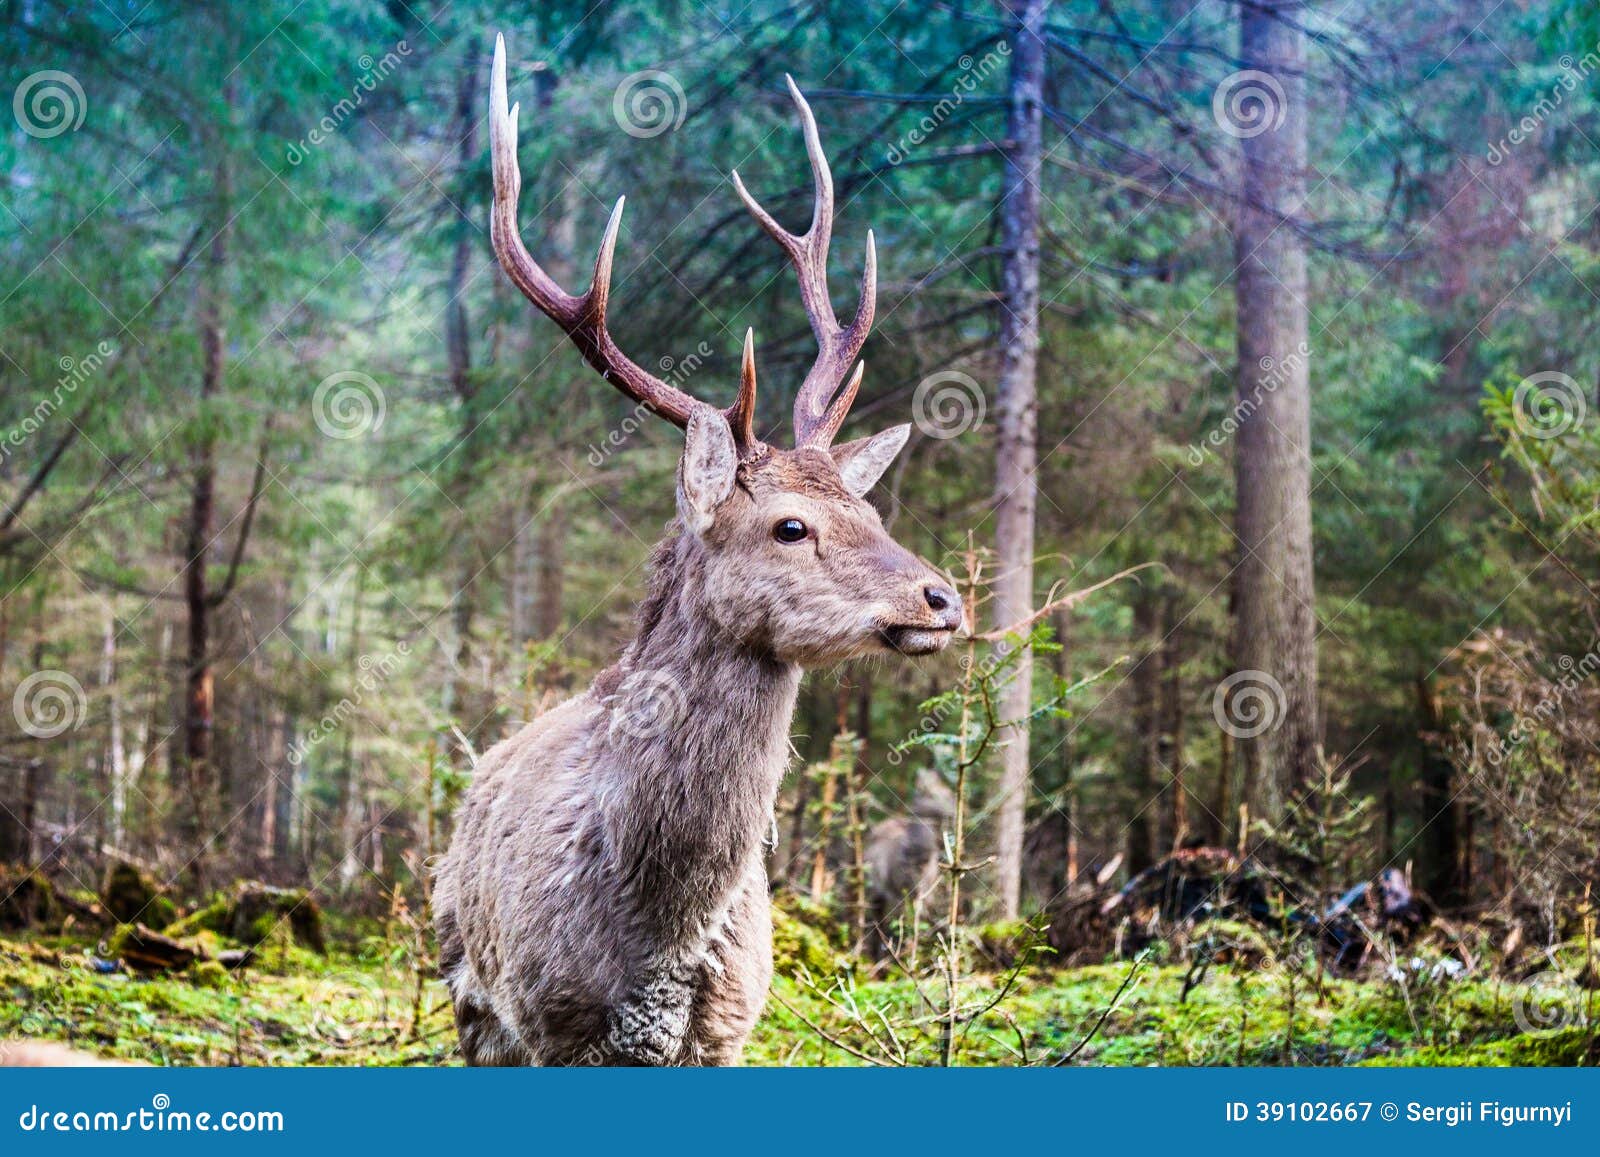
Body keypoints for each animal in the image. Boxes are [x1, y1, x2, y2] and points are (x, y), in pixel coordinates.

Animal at [434, 35, 963, 1067]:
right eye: (789, 525)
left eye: (871, 509)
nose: (942, 597)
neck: (661, 937)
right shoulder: (551, 1026)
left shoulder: (728, 1030)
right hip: (467, 991)